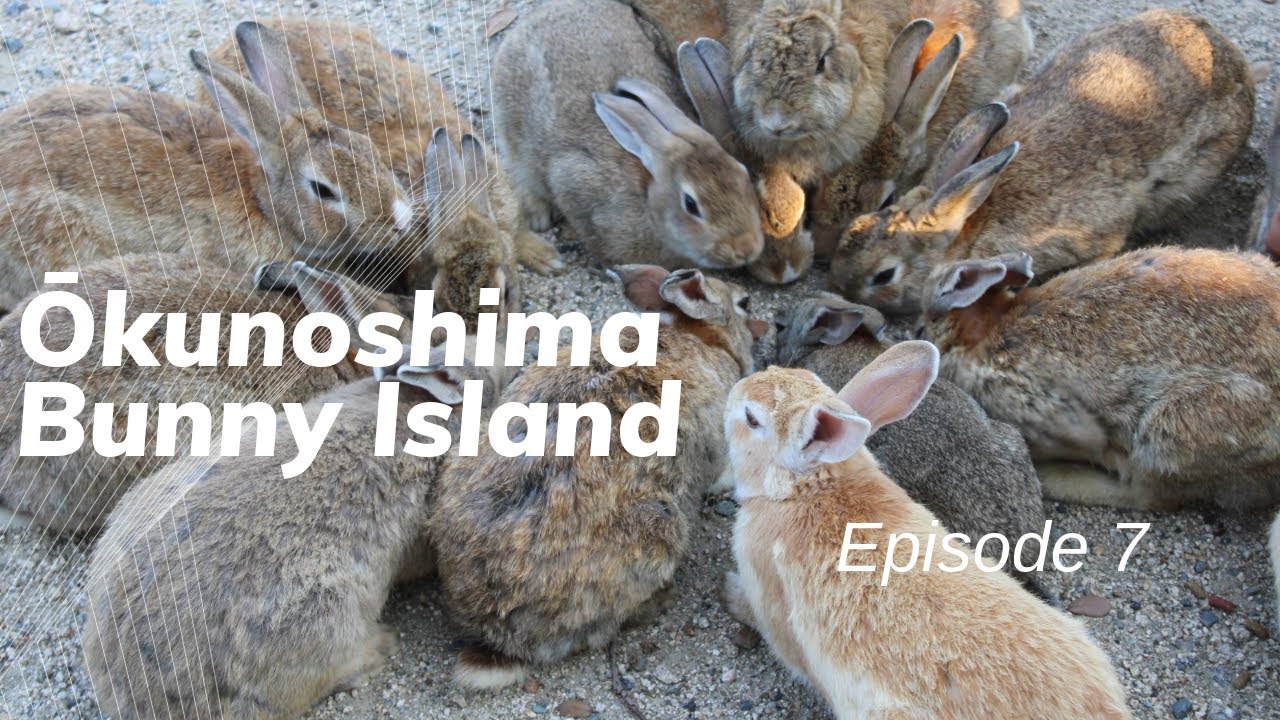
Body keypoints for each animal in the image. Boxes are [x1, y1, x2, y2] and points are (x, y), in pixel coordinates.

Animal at [831, 9, 1256, 318]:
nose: (838, 285)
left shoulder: (1095, 237)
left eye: (883, 276)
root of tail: (1232, 54)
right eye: (857, 224)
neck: (971, 221)